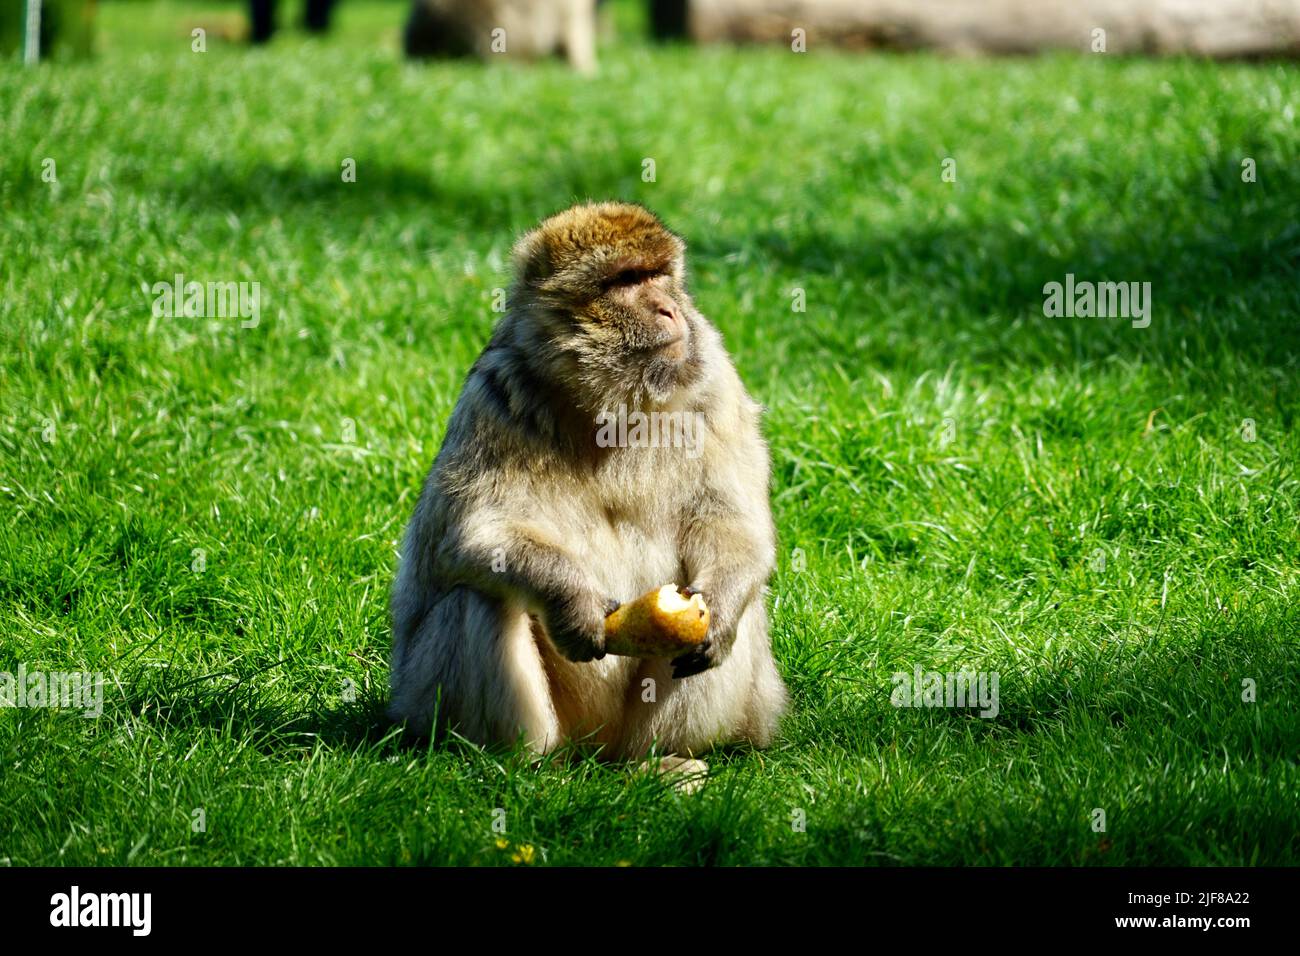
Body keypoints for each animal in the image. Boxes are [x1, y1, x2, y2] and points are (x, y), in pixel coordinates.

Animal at [388, 201, 788, 768]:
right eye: (626, 280)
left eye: (658, 274)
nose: (669, 309)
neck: (612, 404)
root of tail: (597, 751)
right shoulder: (496, 392)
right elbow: (472, 534)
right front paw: (573, 601)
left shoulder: (715, 382)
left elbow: (735, 526)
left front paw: (721, 610)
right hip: (428, 701)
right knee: (480, 596)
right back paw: (521, 768)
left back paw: (664, 759)